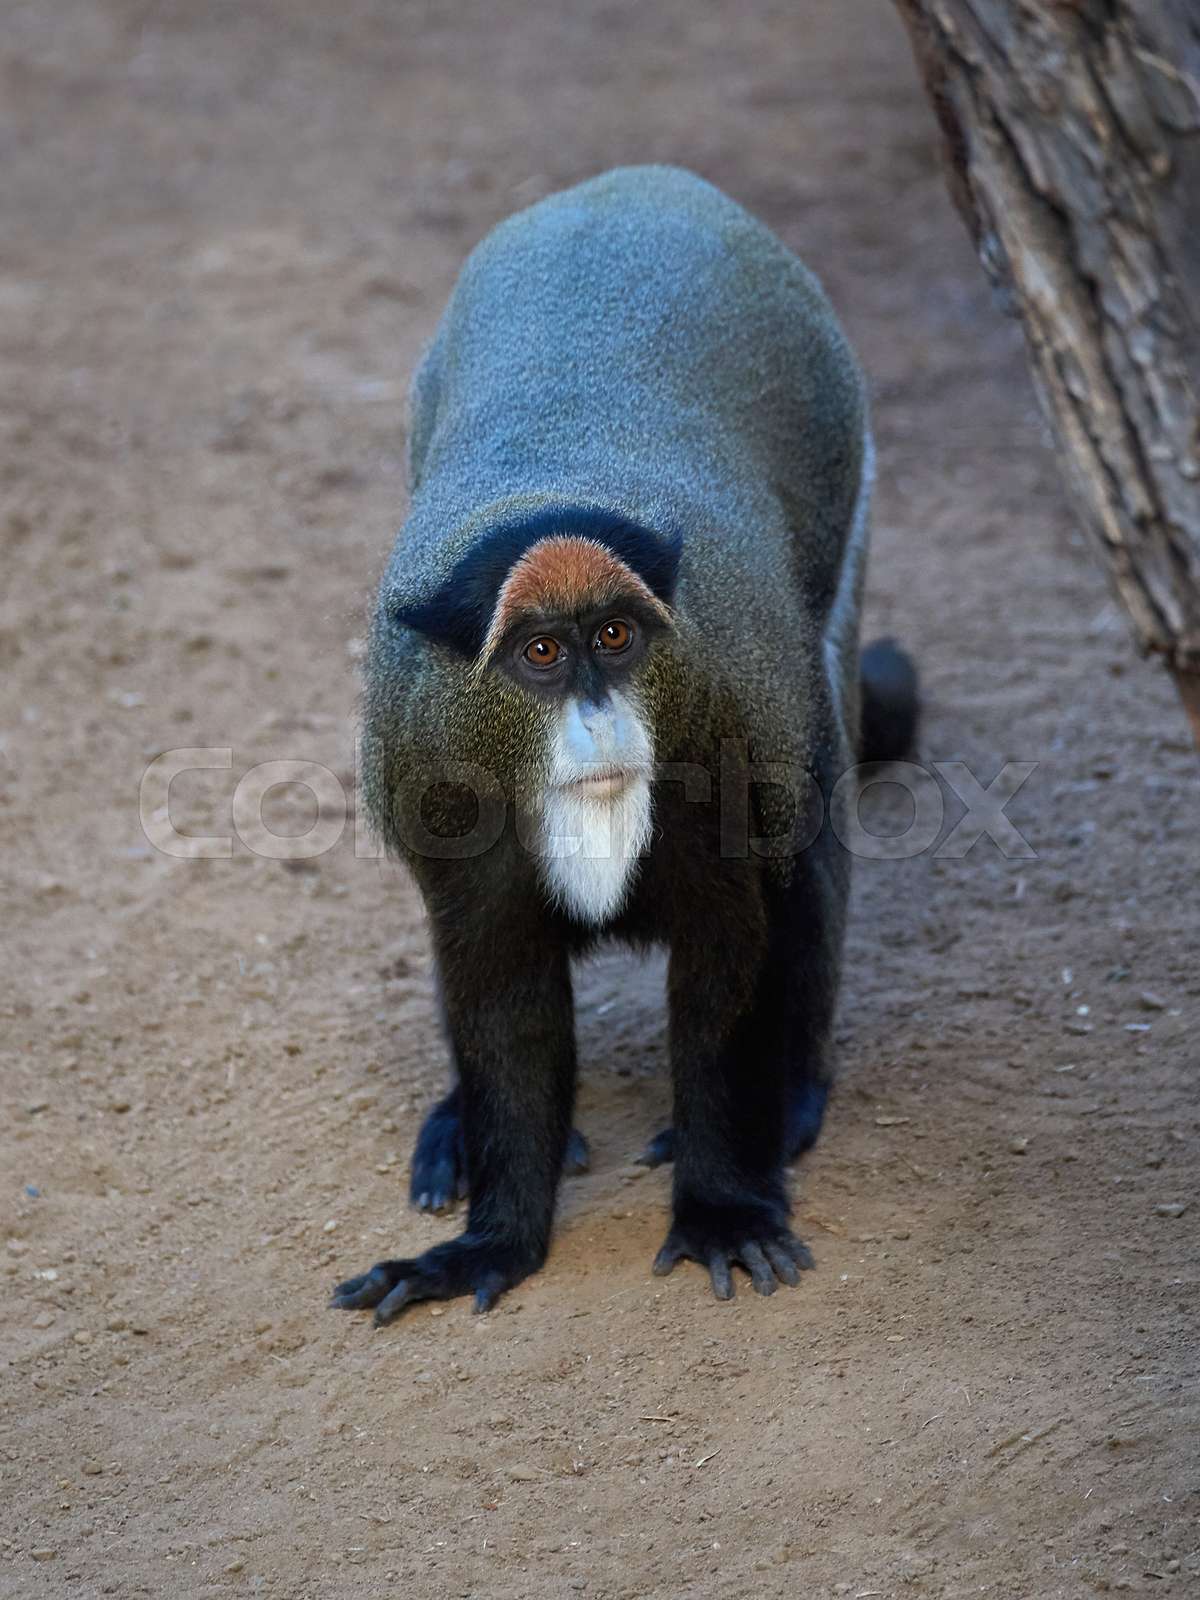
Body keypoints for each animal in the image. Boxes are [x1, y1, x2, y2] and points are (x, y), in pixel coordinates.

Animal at [331, 165, 918, 1326]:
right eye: (540, 653)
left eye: (615, 638)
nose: (598, 717)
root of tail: (642, 182)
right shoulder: (435, 792)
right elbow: (503, 1002)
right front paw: (494, 1239)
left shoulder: (740, 733)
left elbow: (732, 976)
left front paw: (724, 1204)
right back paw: (458, 1124)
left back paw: (793, 1098)